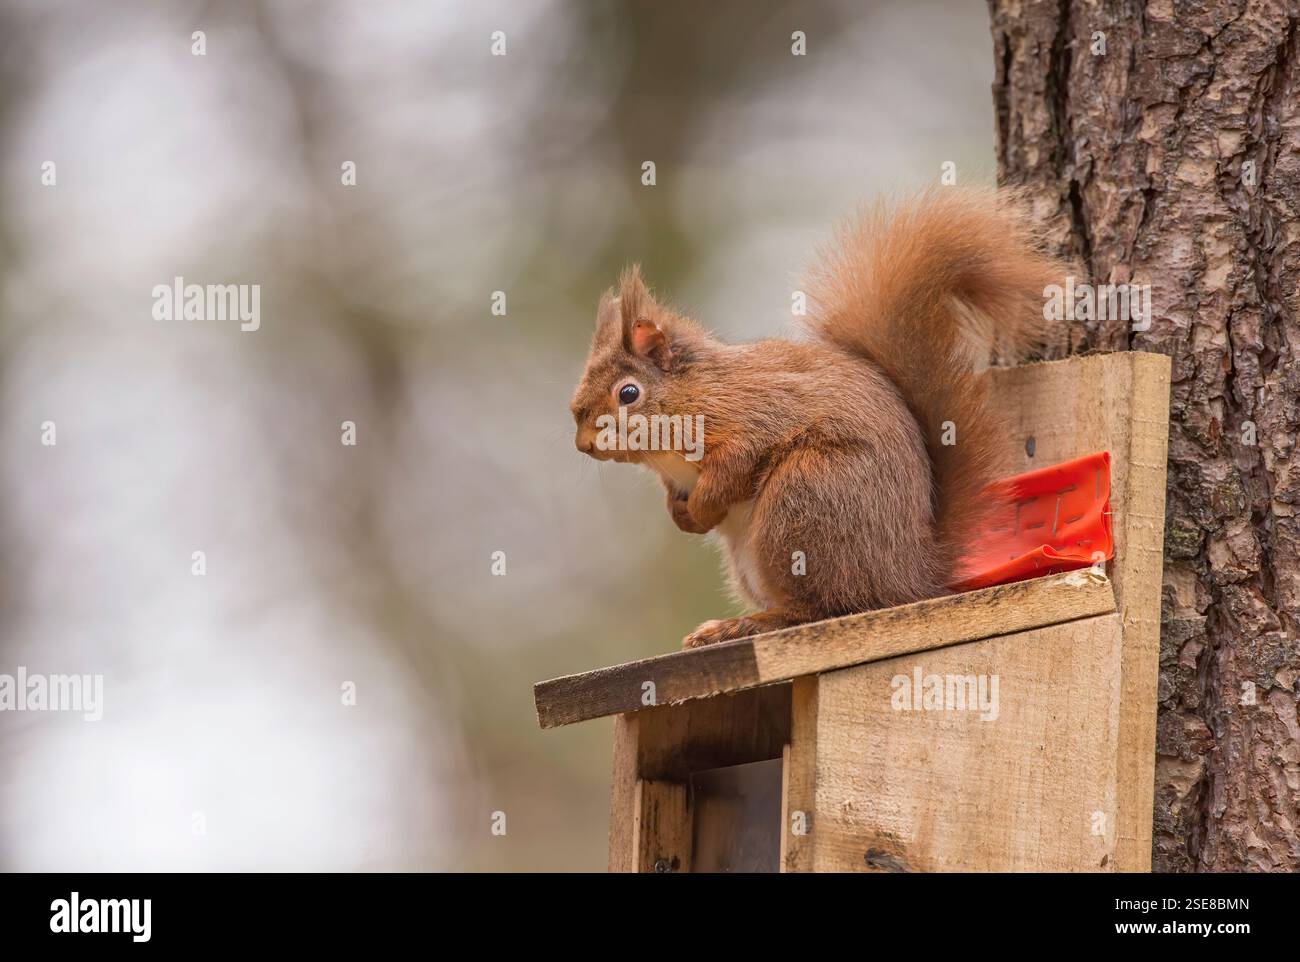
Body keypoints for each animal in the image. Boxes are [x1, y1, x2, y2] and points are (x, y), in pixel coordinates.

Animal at [570, 189, 1070, 648]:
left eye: (628, 393)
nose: (583, 445)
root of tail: (909, 572)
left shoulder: (752, 416)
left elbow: (734, 466)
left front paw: (702, 508)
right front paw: (683, 517)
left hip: (804, 499)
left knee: (819, 608)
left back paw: (746, 625)